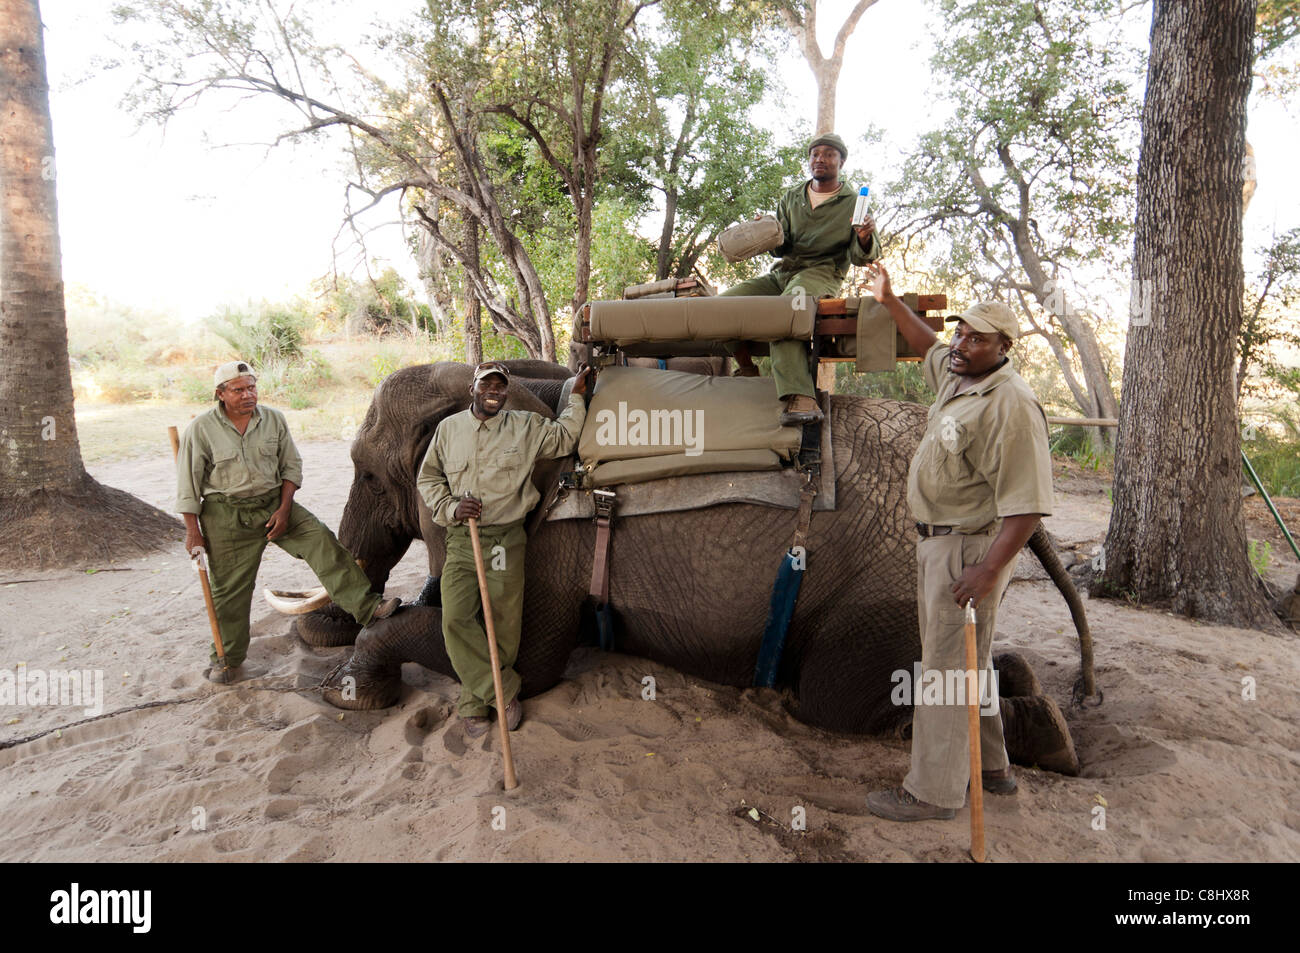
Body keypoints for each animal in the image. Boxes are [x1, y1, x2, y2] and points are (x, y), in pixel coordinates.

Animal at [285, 359, 1088, 774]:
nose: (315, 630)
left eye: (369, 477)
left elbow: (520, 662)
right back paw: (1045, 715)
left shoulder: (538, 538)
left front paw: (348, 691)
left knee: (842, 702)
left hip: (902, 574)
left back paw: (1045, 735)